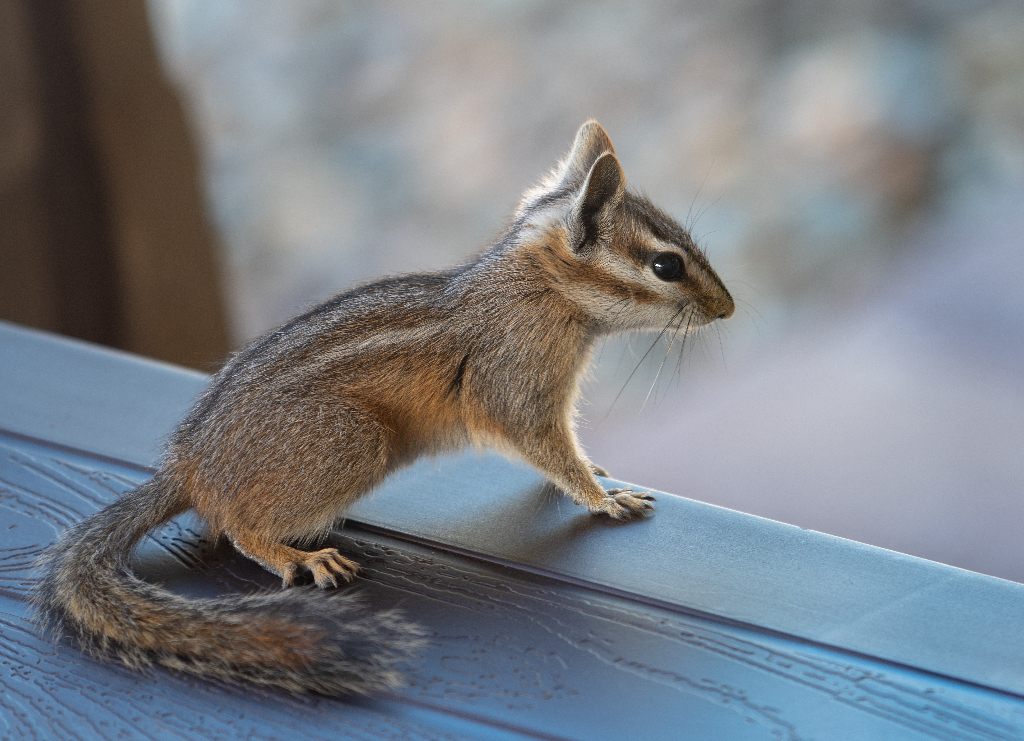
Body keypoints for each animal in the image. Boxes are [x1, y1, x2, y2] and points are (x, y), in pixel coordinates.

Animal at [33, 121, 734, 695]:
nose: (727, 309)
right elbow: (548, 449)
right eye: (666, 265)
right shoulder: (518, 388)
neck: (539, 289)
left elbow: (559, 453)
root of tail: (187, 466)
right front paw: (603, 497)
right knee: (234, 526)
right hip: (355, 441)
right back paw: (297, 554)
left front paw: (598, 474)